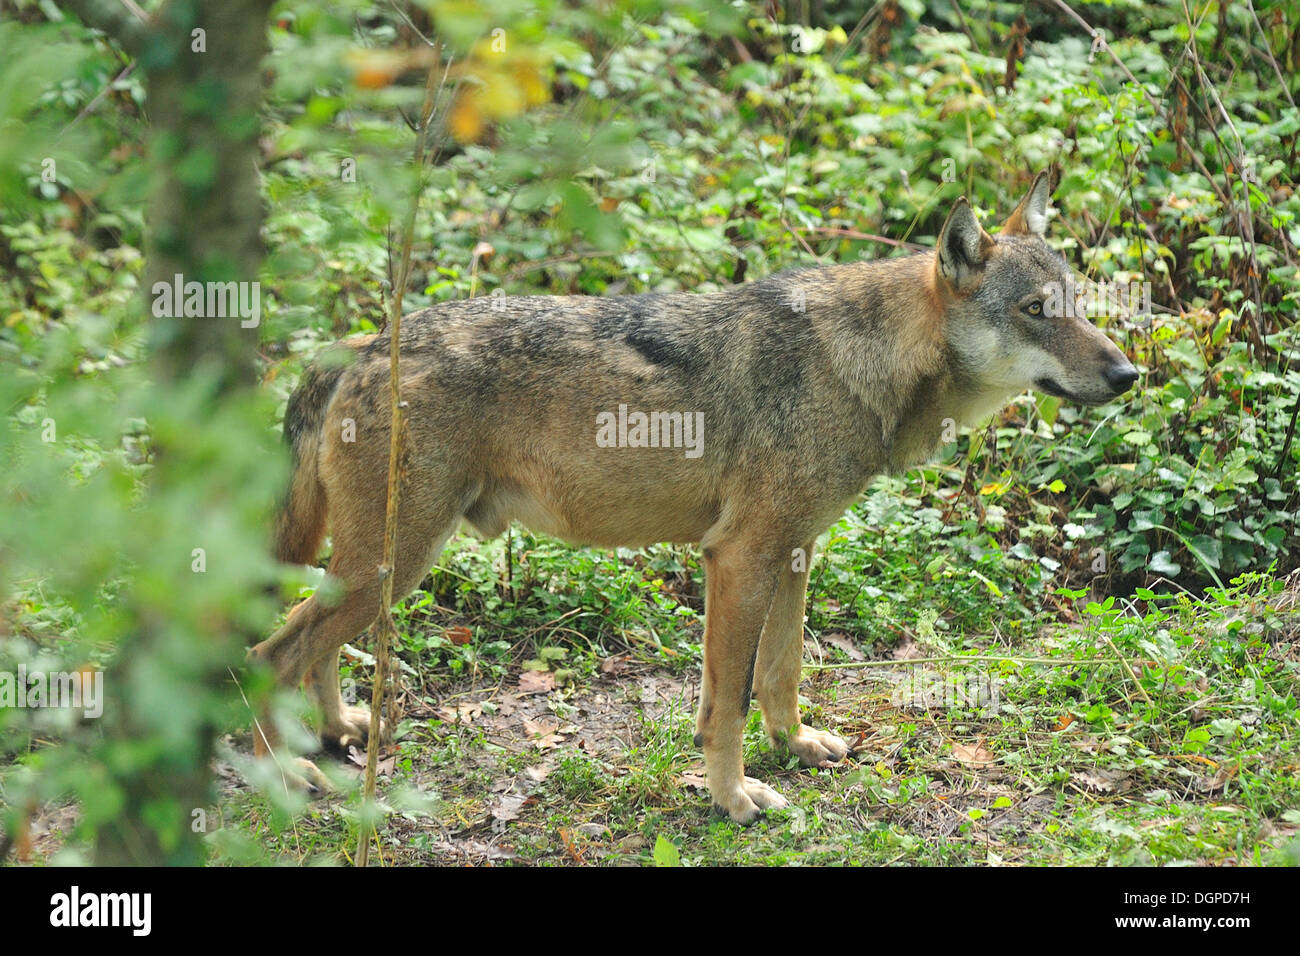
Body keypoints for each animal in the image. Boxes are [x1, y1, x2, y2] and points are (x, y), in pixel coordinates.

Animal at [250, 171, 1138, 824]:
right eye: (1035, 311)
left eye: (1082, 305)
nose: (1130, 374)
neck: (862, 363)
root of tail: (360, 344)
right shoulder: (738, 558)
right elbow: (728, 705)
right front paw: (735, 798)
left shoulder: (793, 551)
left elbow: (779, 676)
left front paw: (797, 745)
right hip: (393, 565)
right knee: (272, 653)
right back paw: (285, 773)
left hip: (377, 572)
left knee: (308, 647)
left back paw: (336, 730)